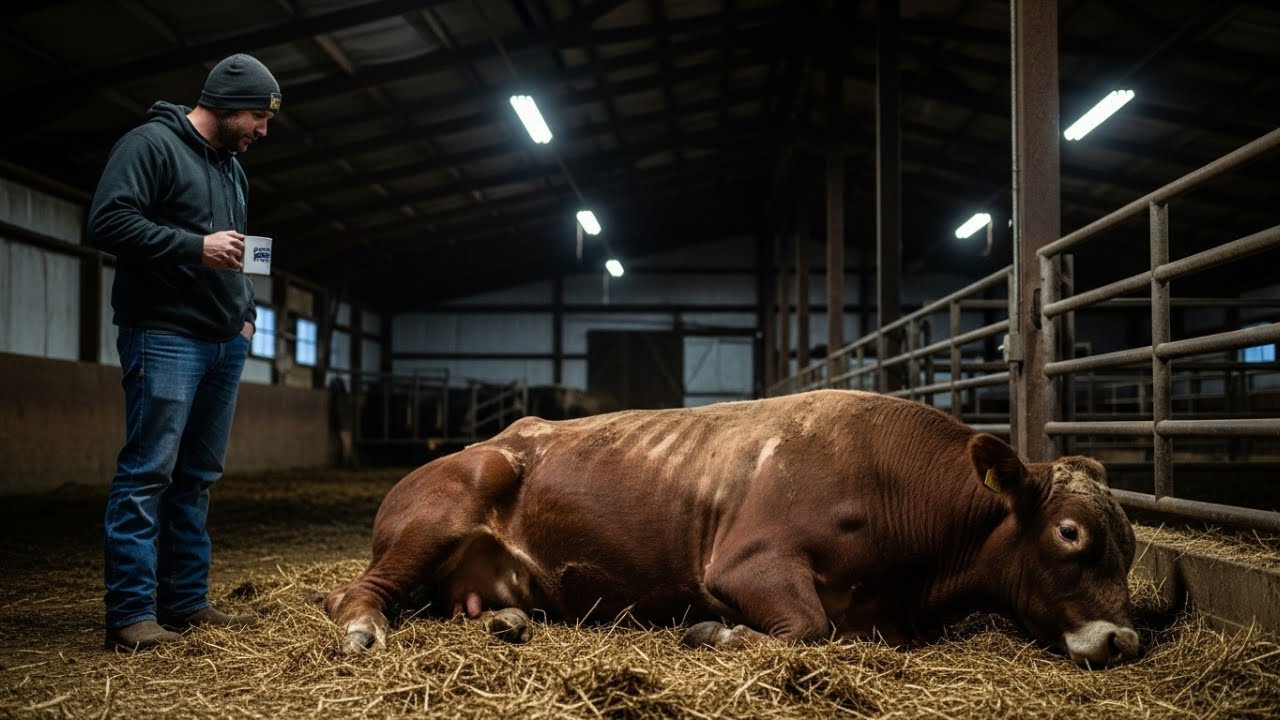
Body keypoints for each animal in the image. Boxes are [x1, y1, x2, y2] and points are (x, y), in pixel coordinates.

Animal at [325, 389, 1140, 665]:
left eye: (1131, 548)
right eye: (1070, 534)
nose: (1126, 640)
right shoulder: (746, 562)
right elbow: (810, 627)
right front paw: (713, 632)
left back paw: (508, 623)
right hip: (449, 502)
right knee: (355, 593)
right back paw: (364, 628)